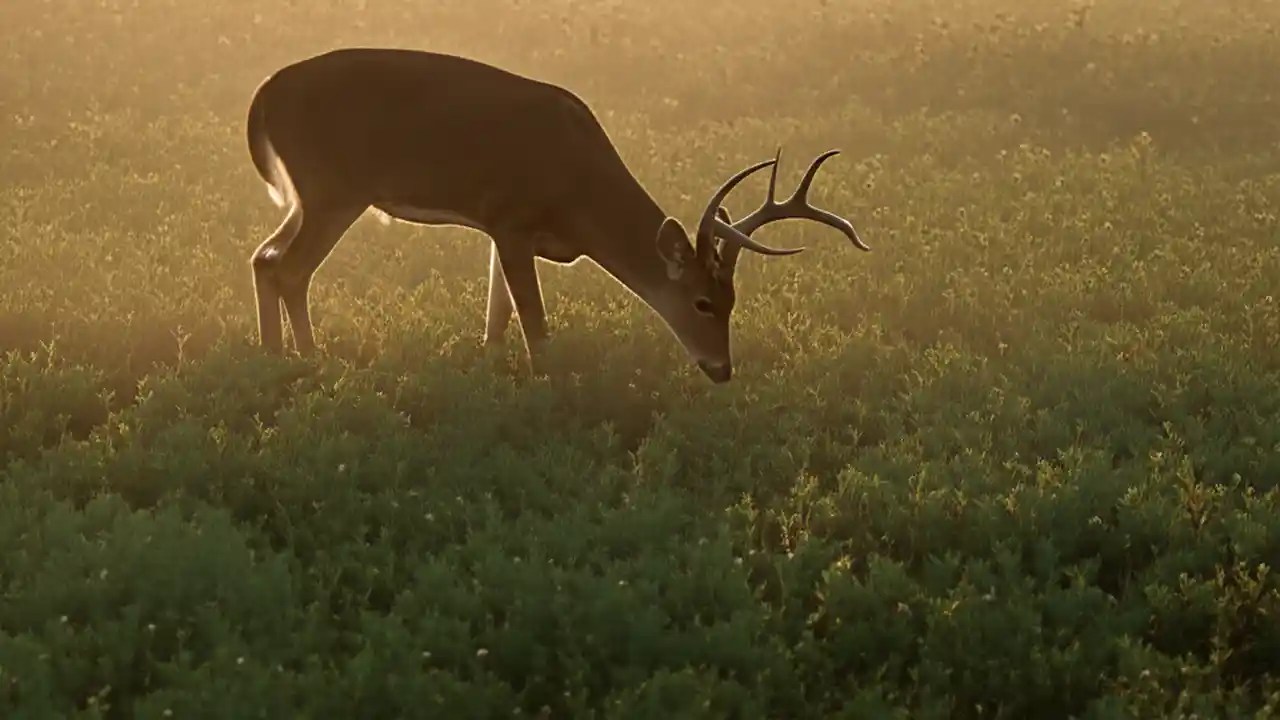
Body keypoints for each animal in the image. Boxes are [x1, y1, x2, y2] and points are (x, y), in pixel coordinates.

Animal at [246, 48, 869, 383]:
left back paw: (273, 358)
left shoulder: (501, 232)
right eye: (702, 302)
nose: (722, 370)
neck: (580, 194)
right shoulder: (510, 217)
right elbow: (537, 331)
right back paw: (307, 361)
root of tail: (264, 96)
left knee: (263, 257)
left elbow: (496, 323)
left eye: (734, 300)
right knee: (288, 267)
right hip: (334, 189)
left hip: (309, 195)